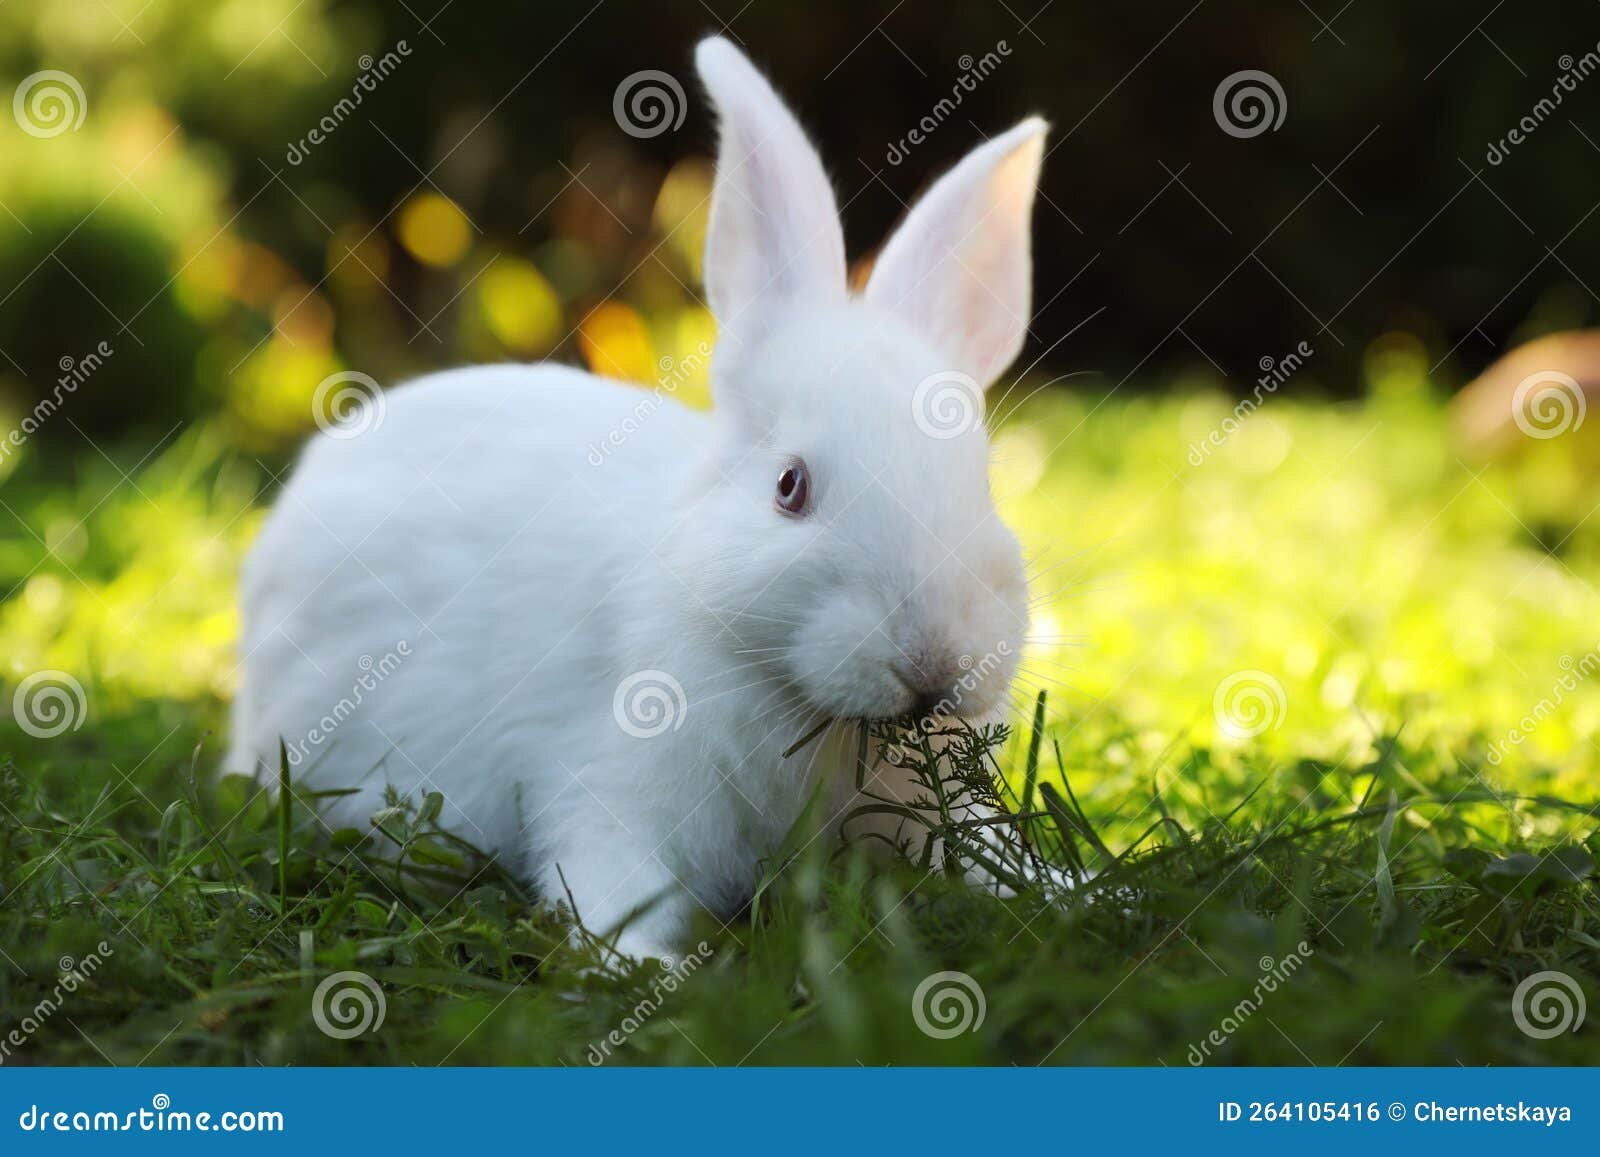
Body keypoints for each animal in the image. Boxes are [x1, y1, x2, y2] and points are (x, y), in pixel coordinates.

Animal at [227, 36, 1049, 962]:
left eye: (981, 484)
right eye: (790, 487)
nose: (936, 663)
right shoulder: (616, 781)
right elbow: (608, 879)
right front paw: (651, 969)